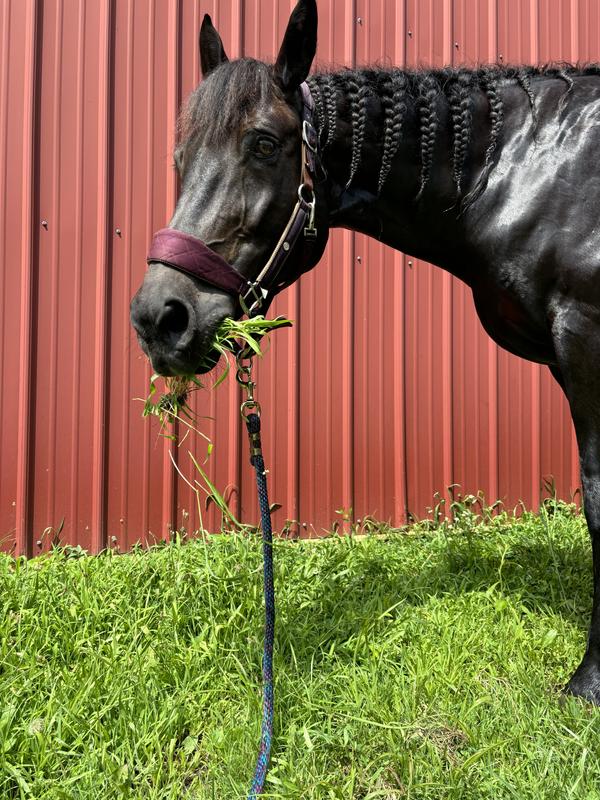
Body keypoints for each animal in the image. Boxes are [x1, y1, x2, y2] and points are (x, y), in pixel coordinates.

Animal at [130, 0, 600, 704]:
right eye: (181, 154)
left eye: (263, 144)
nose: (159, 318)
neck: (529, 171)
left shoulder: (587, 344)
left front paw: (590, 680)